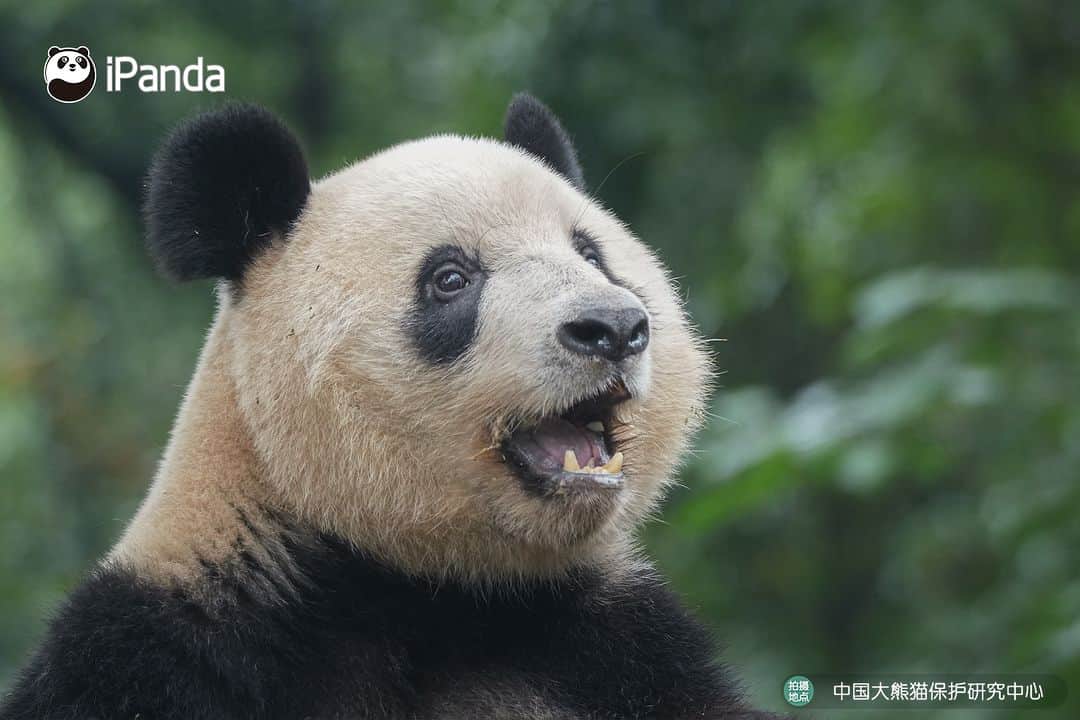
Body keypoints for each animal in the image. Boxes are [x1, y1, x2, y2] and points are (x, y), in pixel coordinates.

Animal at [0, 96, 784, 719]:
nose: (613, 327)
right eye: (450, 278)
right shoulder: (170, 652)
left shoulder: (610, 653)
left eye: (592, 254)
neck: (428, 592)